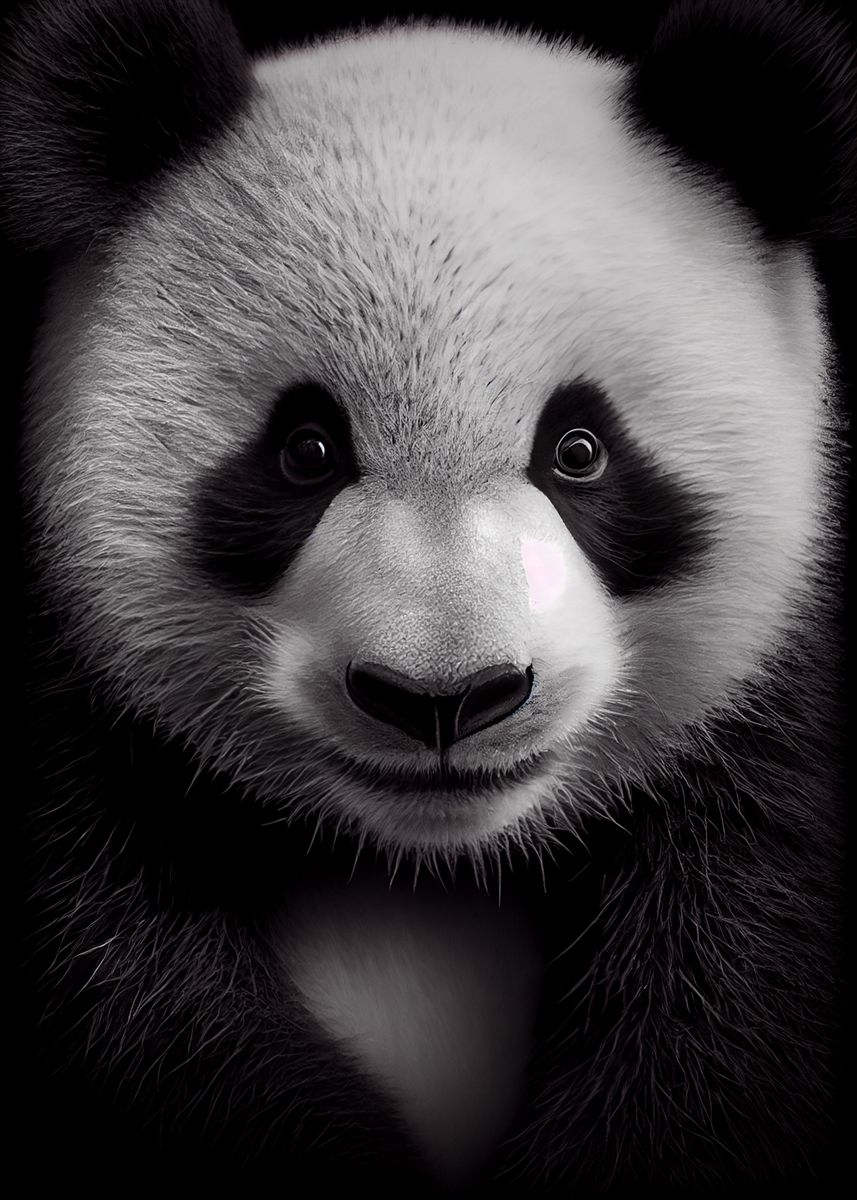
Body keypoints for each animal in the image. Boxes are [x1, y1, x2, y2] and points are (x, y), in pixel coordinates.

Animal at [3, 0, 853, 1193]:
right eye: (305, 450)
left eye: (579, 451)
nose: (445, 699)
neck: (426, 862)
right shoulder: (88, 759)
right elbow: (139, 996)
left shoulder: (747, 777)